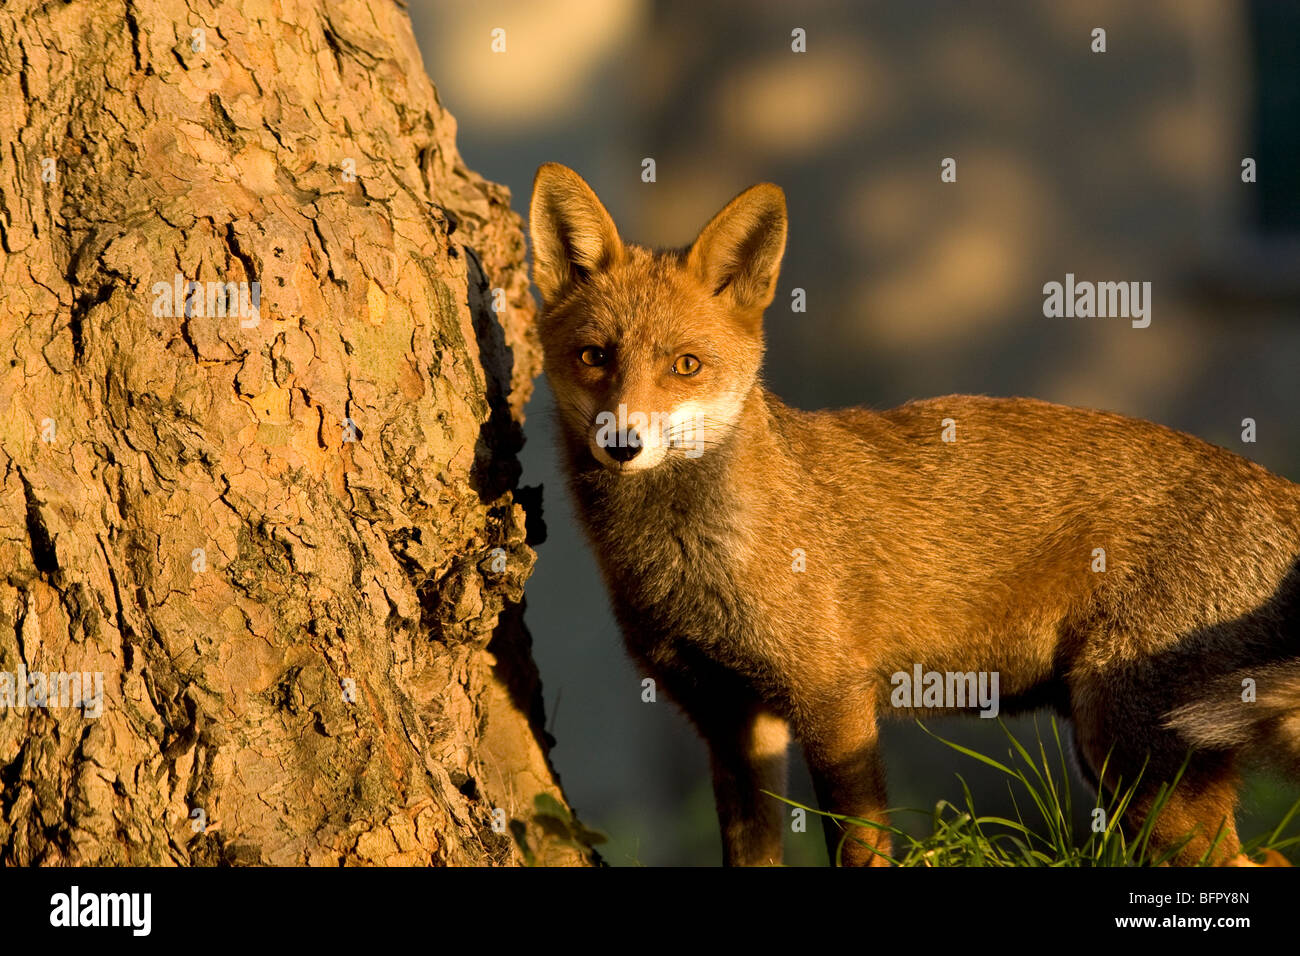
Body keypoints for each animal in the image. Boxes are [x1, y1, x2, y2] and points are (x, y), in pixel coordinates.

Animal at [527, 161, 1300, 867]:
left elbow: (861, 847)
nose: (622, 443)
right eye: (594, 356)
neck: (688, 564)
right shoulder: (733, 722)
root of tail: (1280, 488)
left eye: (686, 365)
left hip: (1136, 756)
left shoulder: (834, 701)